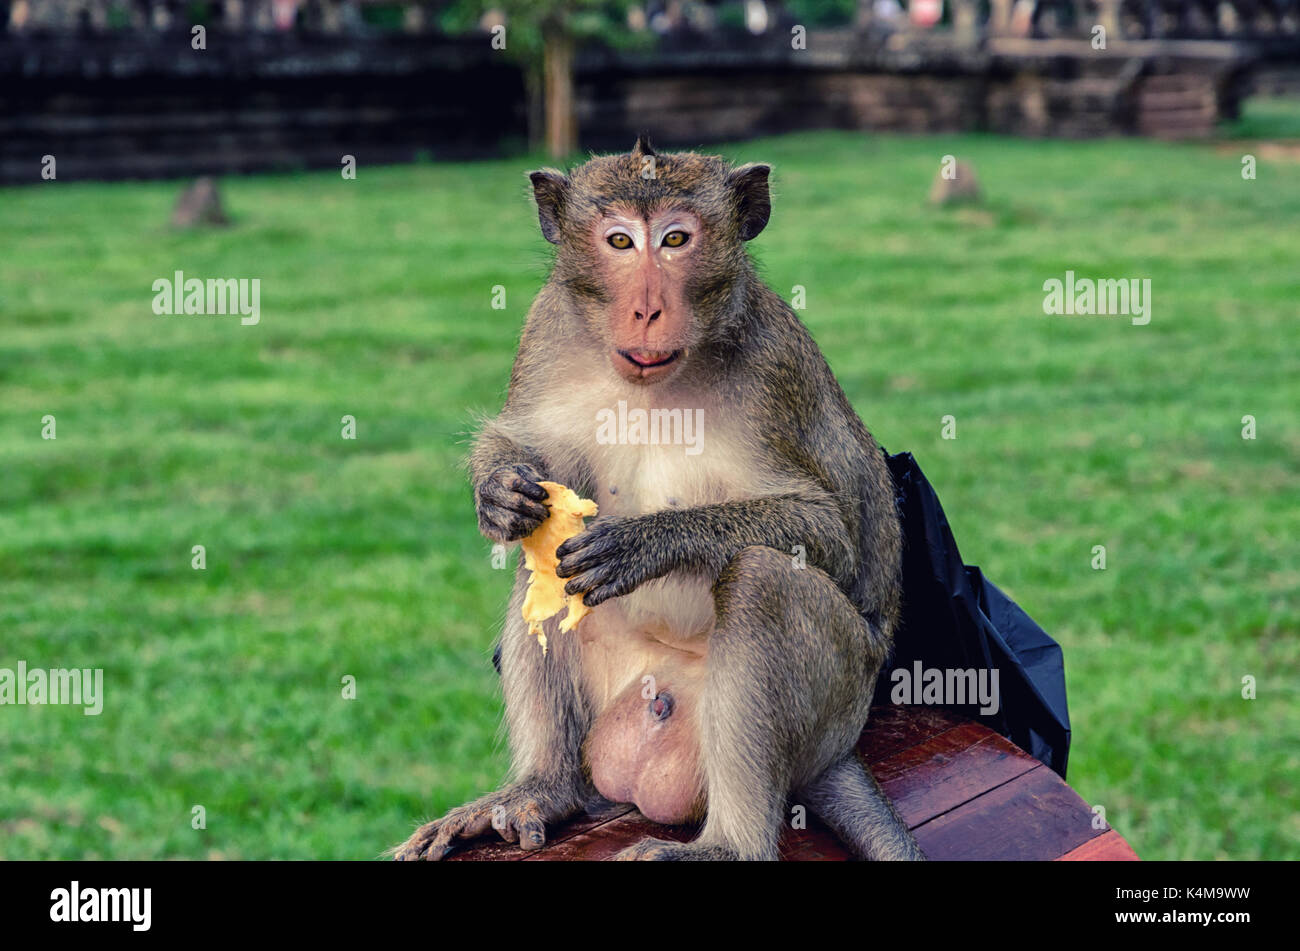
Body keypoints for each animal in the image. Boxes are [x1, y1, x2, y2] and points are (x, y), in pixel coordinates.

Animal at [393, 136, 924, 862]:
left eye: (675, 239)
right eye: (619, 241)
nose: (647, 308)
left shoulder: (771, 372)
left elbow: (828, 532)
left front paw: (644, 543)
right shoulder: (546, 328)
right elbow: (525, 449)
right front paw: (498, 493)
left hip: (843, 687)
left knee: (763, 578)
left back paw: (729, 845)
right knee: (539, 574)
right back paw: (542, 788)